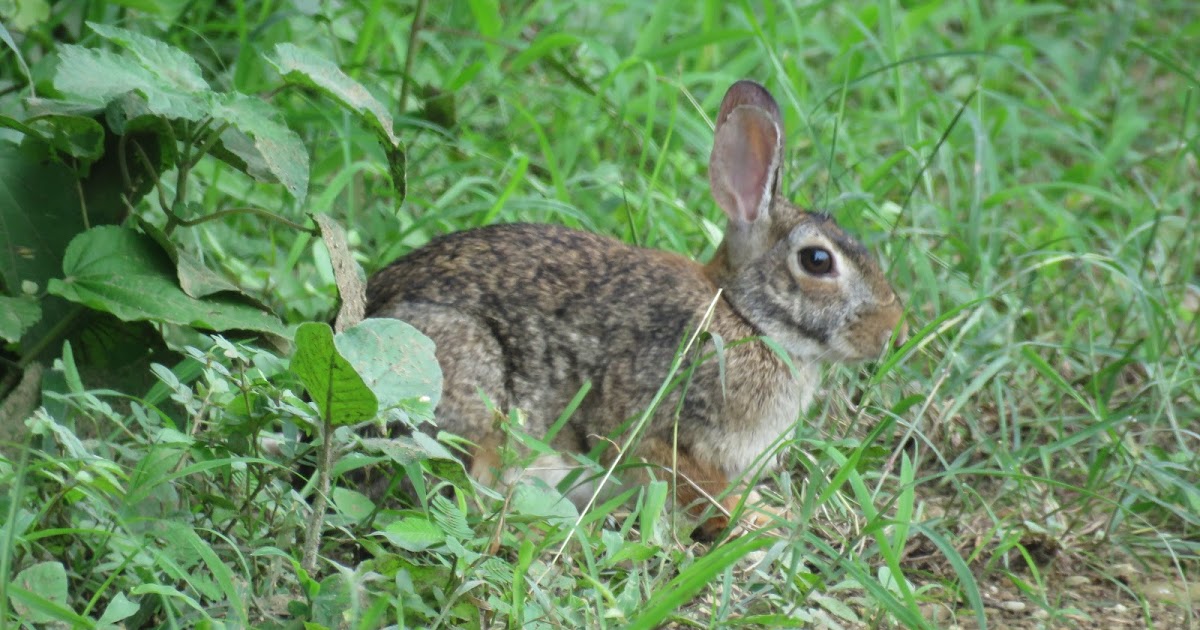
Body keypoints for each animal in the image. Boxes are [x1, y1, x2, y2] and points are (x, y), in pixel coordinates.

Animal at [365, 80, 905, 542]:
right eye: (817, 261)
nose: (892, 332)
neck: (744, 317)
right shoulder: (659, 432)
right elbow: (704, 491)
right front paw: (763, 521)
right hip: (468, 378)